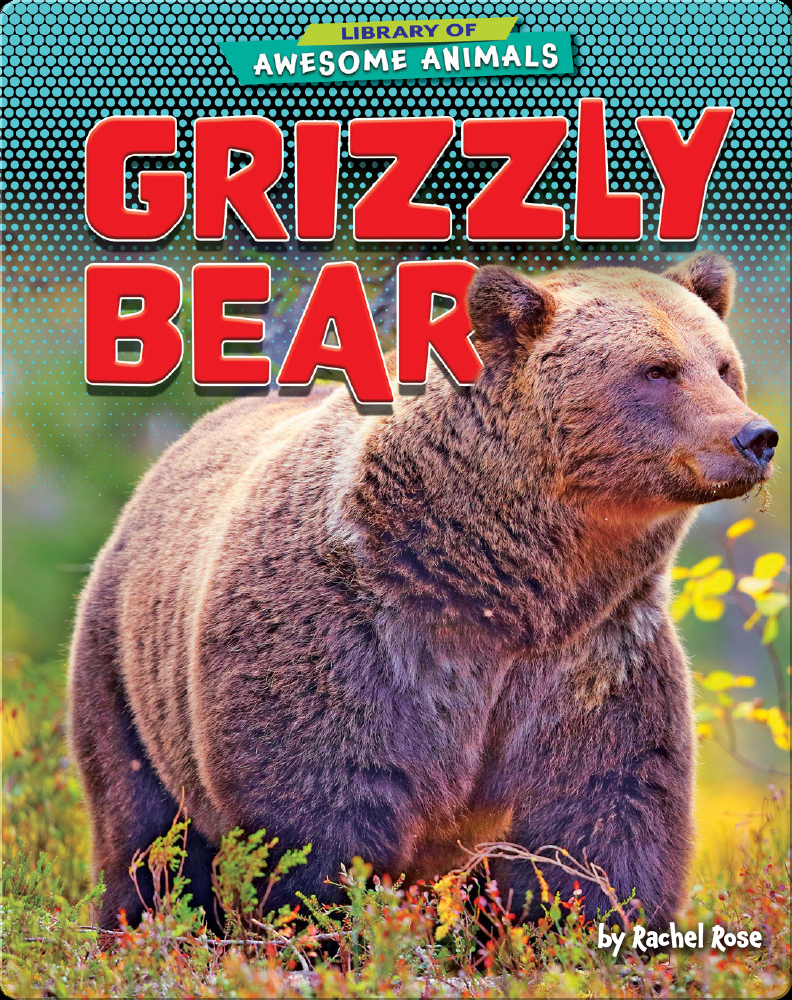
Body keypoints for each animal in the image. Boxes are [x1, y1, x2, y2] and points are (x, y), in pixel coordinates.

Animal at [68, 252, 778, 932]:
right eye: (657, 370)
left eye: (723, 366)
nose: (756, 437)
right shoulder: (357, 635)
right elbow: (318, 813)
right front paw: (325, 928)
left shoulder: (593, 655)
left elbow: (603, 814)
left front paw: (592, 925)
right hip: (122, 672)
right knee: (143, 832)